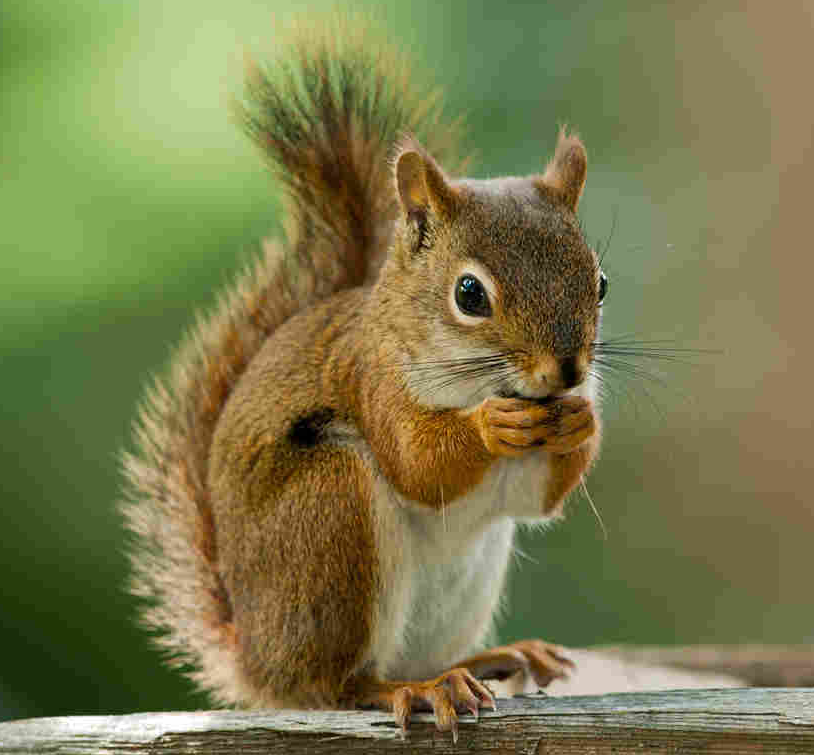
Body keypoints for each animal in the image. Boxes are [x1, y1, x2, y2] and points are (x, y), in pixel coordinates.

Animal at [123, 22, 604, 739]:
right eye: (469, 294)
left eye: (600, 282)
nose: (567, 369)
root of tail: (258, 662)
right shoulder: (372, 380)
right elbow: (418, 463)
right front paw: (490, 425)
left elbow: (536, 498)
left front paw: (582, 418)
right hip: (330, 514)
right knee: (340, 684)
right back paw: (415, 689)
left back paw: (491, 659)